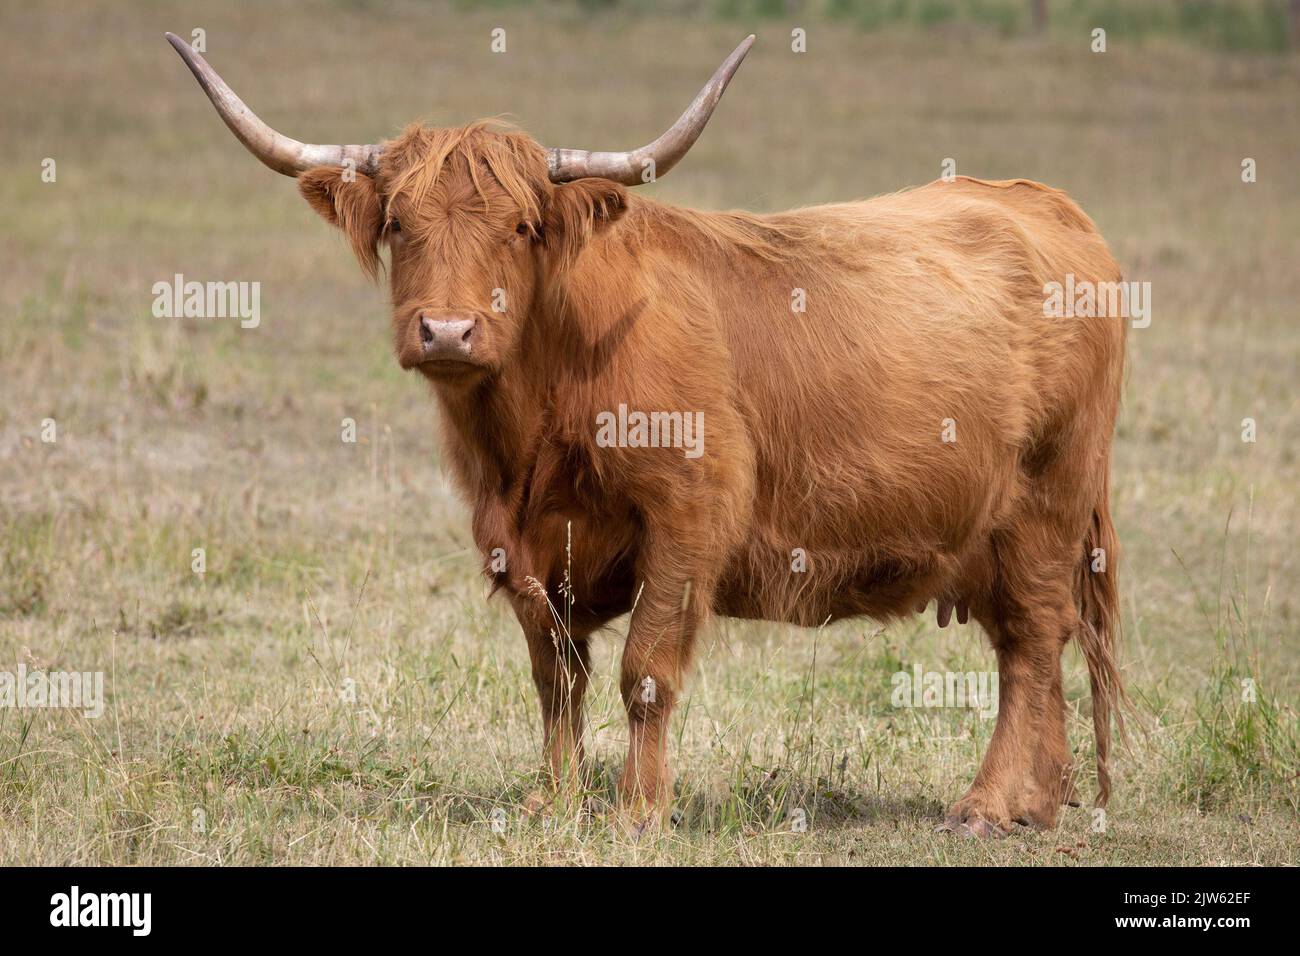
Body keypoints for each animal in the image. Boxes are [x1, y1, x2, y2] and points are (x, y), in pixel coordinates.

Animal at [167, 32, 1126, 837]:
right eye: (400, 223)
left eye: (521, 228)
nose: (446, 331)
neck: (535, 427)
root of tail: (1046, 206)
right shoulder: (524, 543)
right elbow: (556, 681)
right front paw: (553, 800)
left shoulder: (687, 517)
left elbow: (646, 670)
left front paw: (638, 809)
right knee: (1031, 646)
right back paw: (1040, 800)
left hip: (1045, 506)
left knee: (1033, 644)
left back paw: (987, 805)